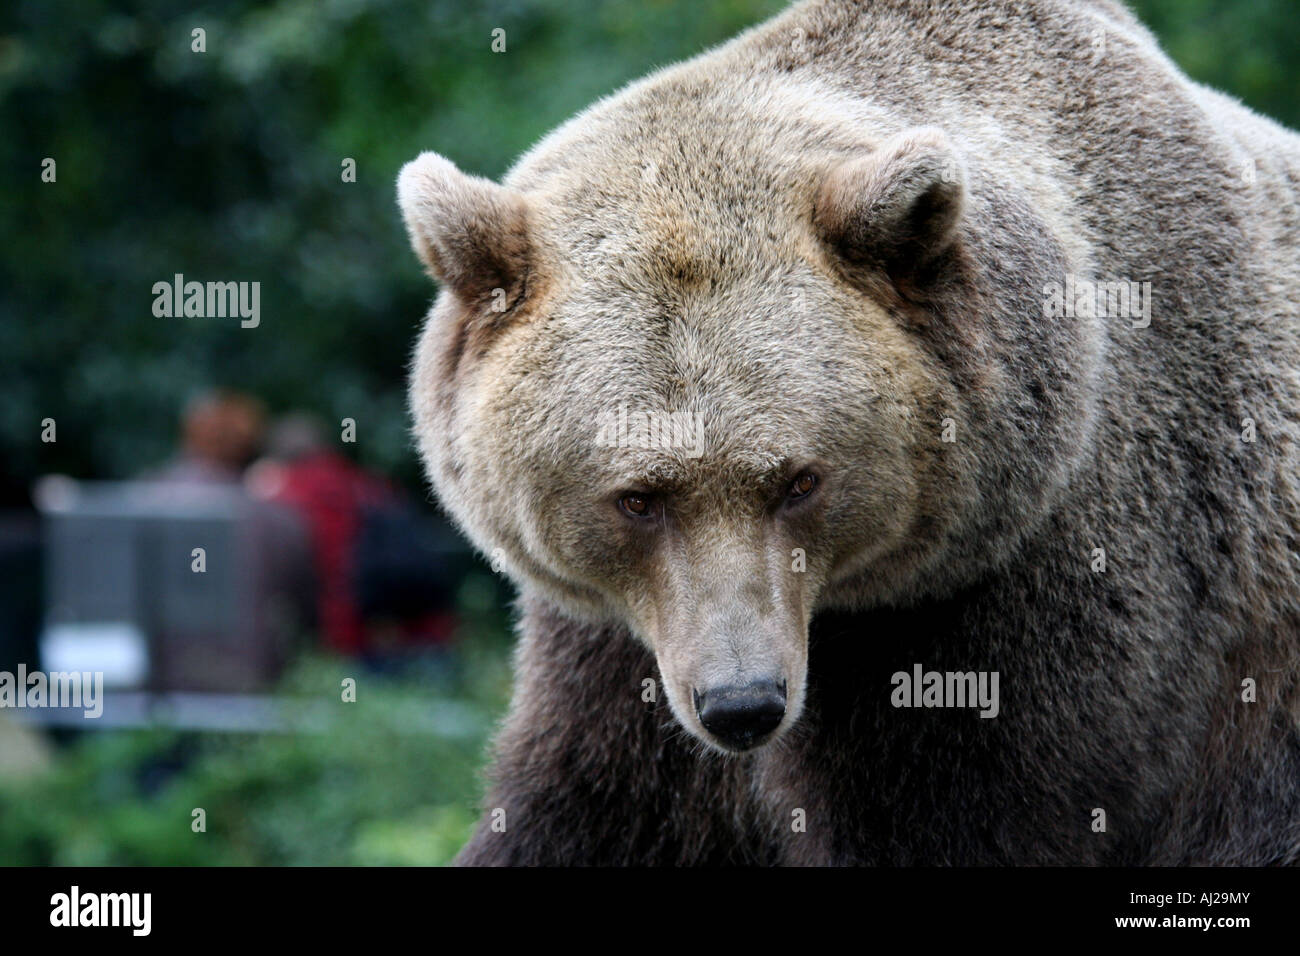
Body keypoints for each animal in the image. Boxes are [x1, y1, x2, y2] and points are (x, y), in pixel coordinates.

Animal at [397, 0, 1300, 865]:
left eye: (800, 480)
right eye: (638, 498)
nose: (742, 704)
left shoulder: (1041, 593)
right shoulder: (614, 647)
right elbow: (591, 805)